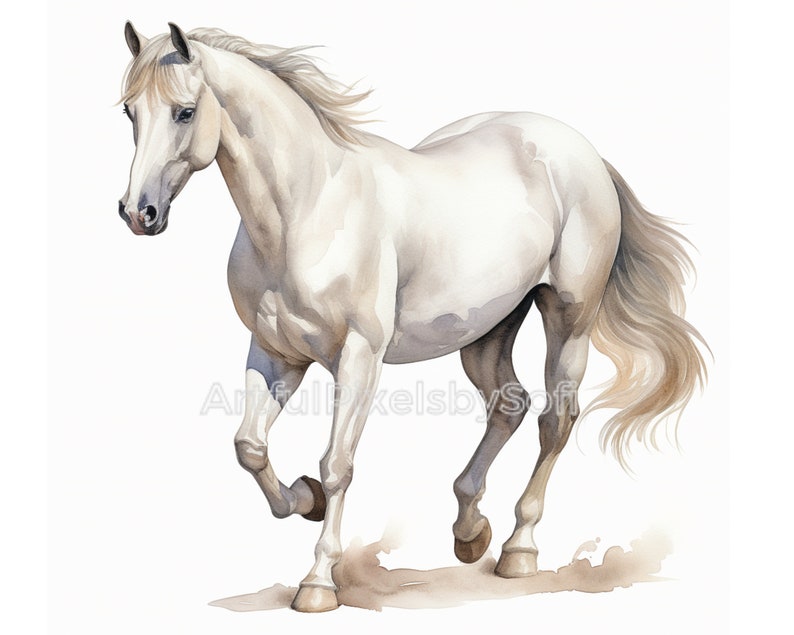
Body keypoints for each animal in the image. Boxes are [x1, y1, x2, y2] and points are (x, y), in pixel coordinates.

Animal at [117, 22, 707, 612]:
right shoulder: (275, 353)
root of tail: (582, 151)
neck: (307, 210)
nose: (138, 213)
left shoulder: (359, 356)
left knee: (555, 420)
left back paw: (518, 550)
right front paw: (304, 498)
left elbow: (337, 465)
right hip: (486, 330)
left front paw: (318, 584)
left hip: (569, 317)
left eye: (185, 112)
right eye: (130, 112)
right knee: (510, 404)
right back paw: (471, 533)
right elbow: (249, 447)